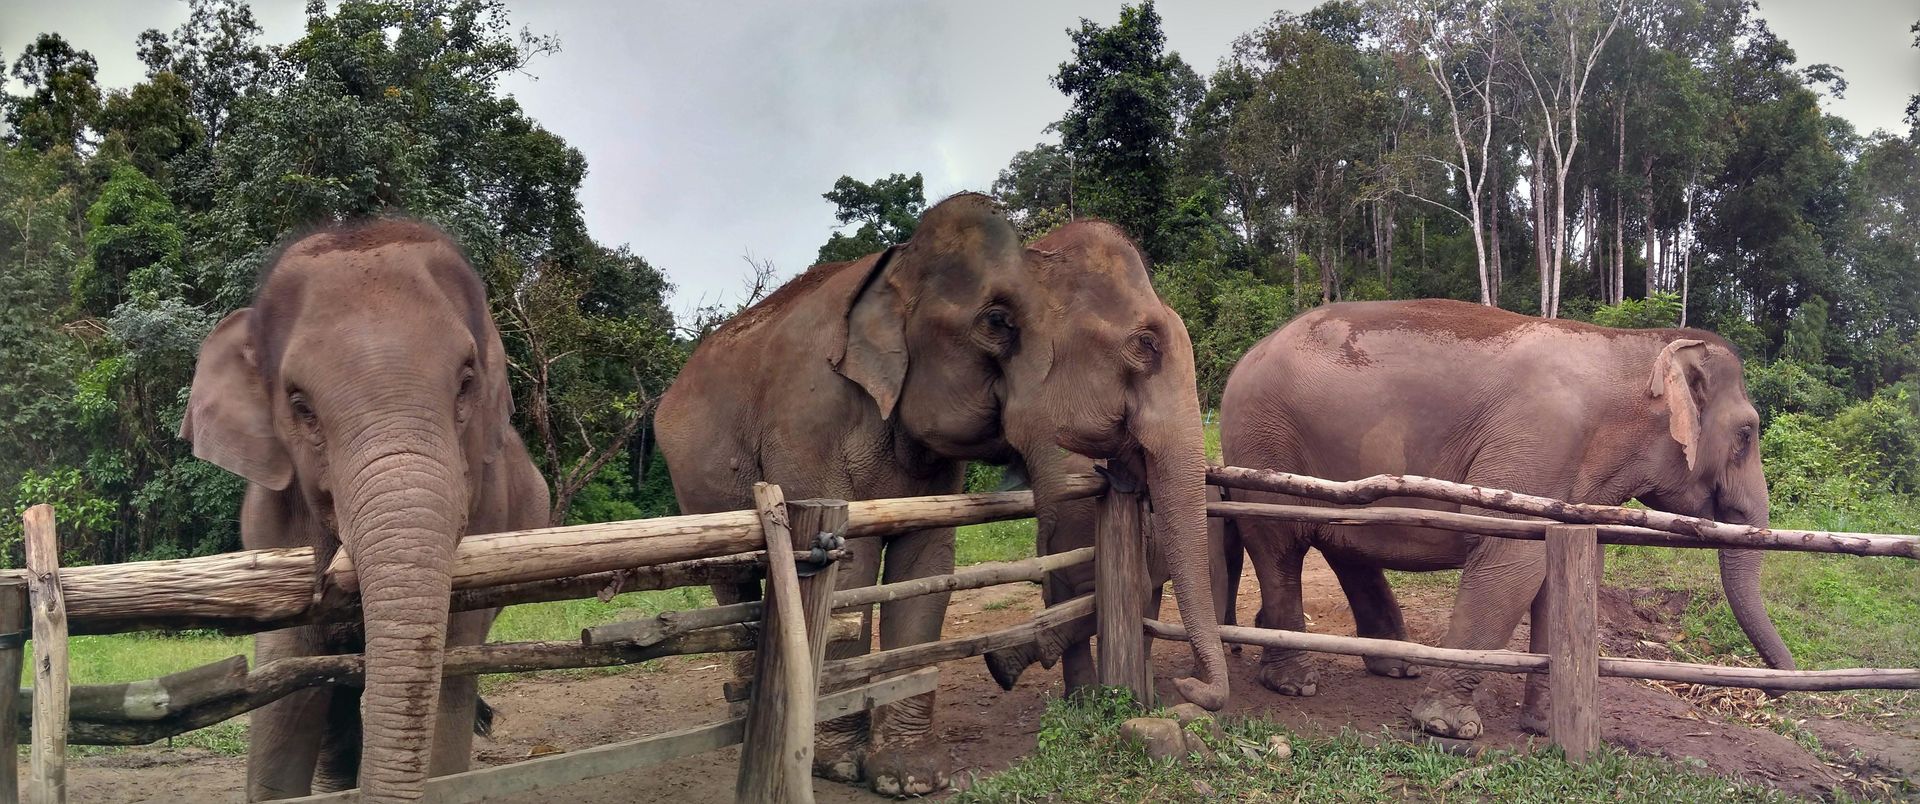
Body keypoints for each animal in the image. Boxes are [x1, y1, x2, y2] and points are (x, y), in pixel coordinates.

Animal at [654, 192, 1228, 796]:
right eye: (997, 323)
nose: (1189, 689)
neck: (897, 267)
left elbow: (927, 567)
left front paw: (909, 778)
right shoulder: (808, 421)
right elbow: (851, 573)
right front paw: (837, 765)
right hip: (693, 479)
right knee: (732, 578)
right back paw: (745, 713)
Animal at [1214, 298, 1793, 739]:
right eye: (1747, 434)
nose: (1778, 690)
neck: (1634, 348)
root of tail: (1246, 356)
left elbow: (1561, 574)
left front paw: (1543, 727)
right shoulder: (1541, 441)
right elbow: (1511, 558)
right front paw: (1447, 727)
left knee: (1342, 543)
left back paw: (1397, 667)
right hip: (1263, 446)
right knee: (1279, 546)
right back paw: (1295, 682)